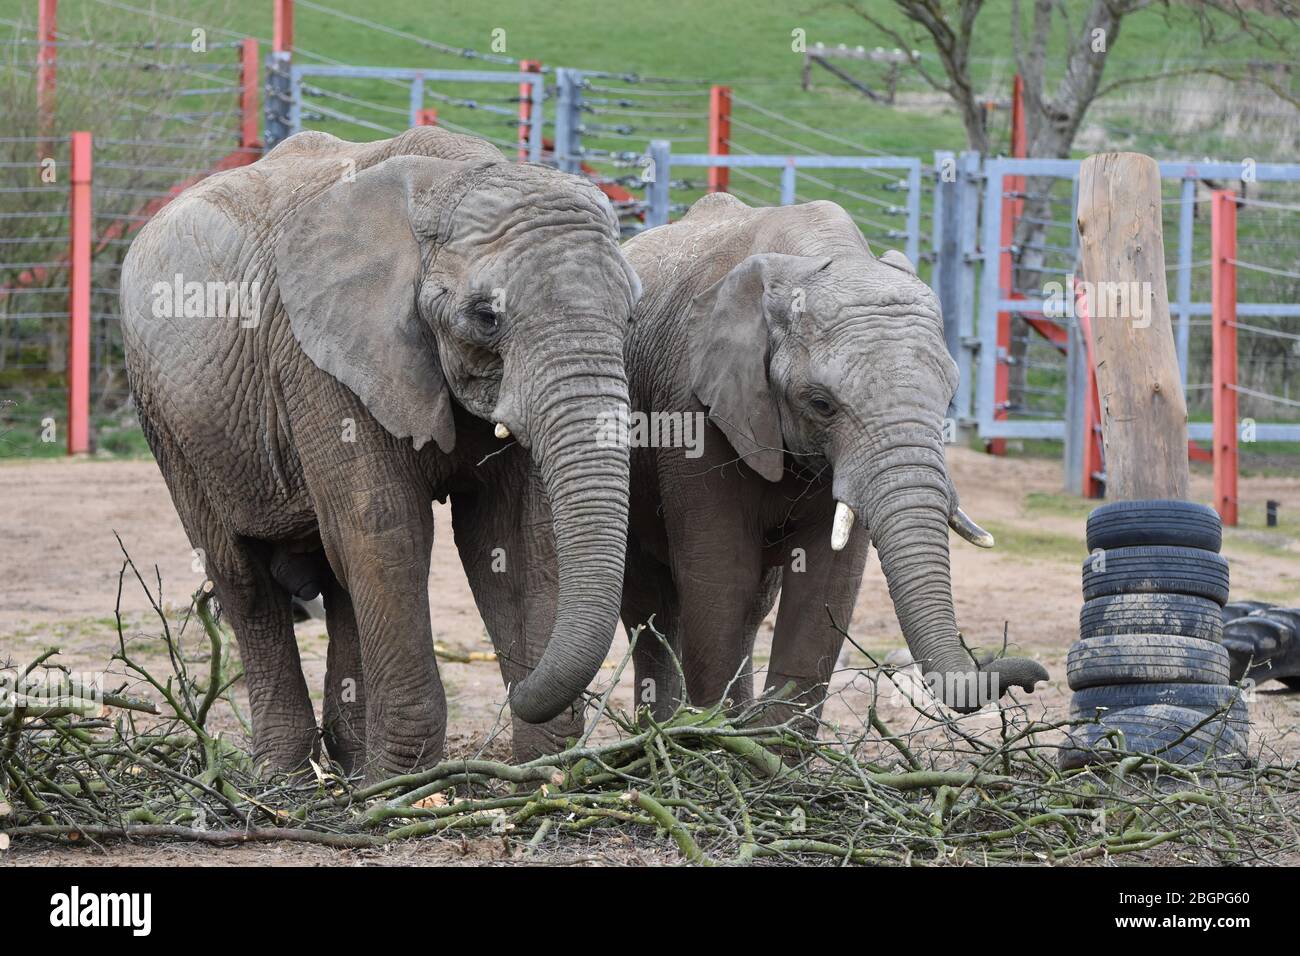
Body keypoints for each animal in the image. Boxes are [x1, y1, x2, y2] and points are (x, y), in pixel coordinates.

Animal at [119, 127, 640, 780]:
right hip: (166, 419)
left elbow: (510, 542)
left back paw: (349, 769)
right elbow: (387, 532)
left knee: (338, 577)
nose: (516, 690)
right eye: (486, 316)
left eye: (630, 312)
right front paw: (403, 785)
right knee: (244, 578)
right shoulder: (317, 361)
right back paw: (289, 780)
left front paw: (542, 773)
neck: (448, 181)